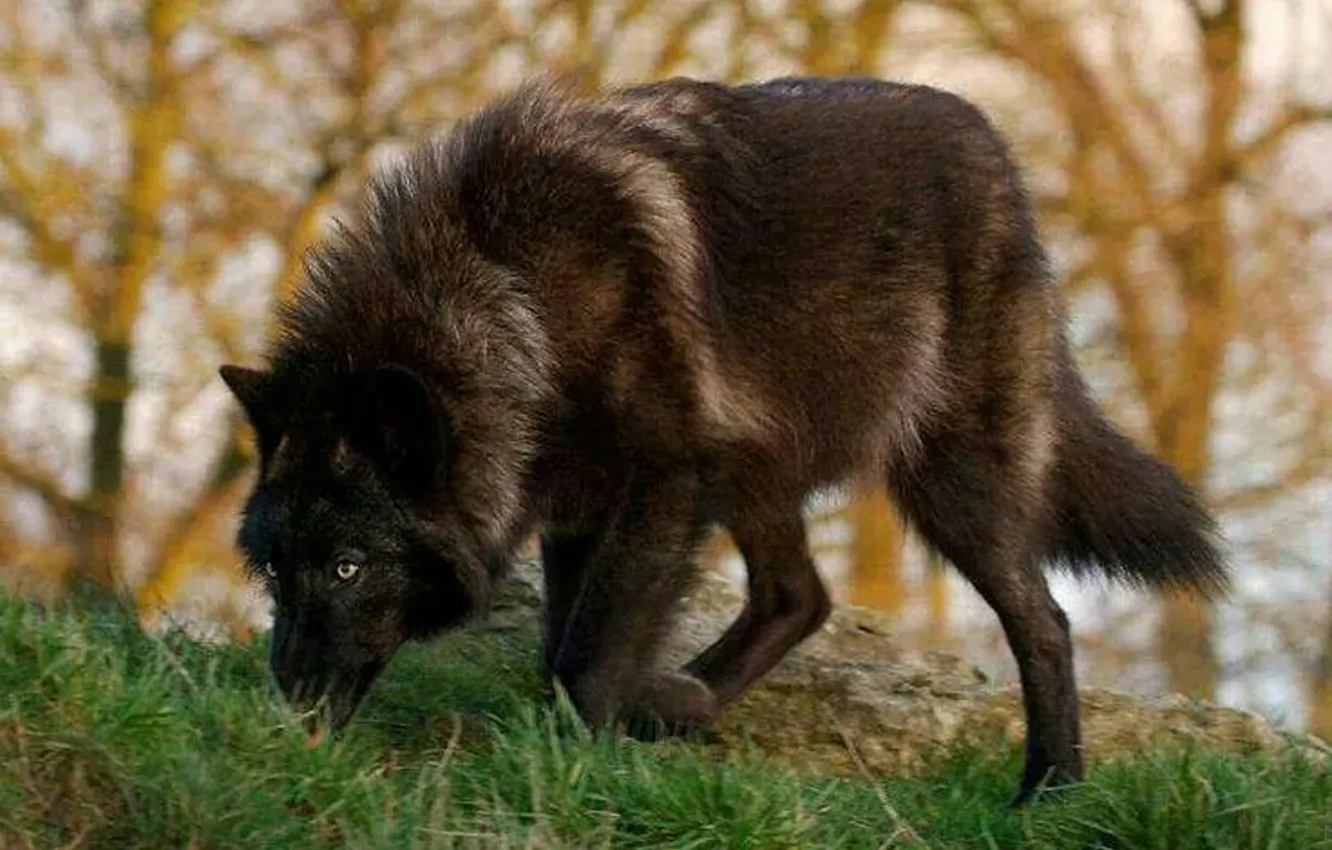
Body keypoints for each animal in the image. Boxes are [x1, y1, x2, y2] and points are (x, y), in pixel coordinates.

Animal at [219, 74, 1227, 806]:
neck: (508, 288)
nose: (286, 712)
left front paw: (591, 739)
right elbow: (562, 648)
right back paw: (690, 701)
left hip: (951, 488)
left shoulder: (664, 482)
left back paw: (1050, 790)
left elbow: (586, 656)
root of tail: (995, 149)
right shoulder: (578, 507)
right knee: (800, 597)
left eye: (348, 567)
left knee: (1043, 622)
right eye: (274, 570)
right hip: (761, 478)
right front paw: (639, 712)